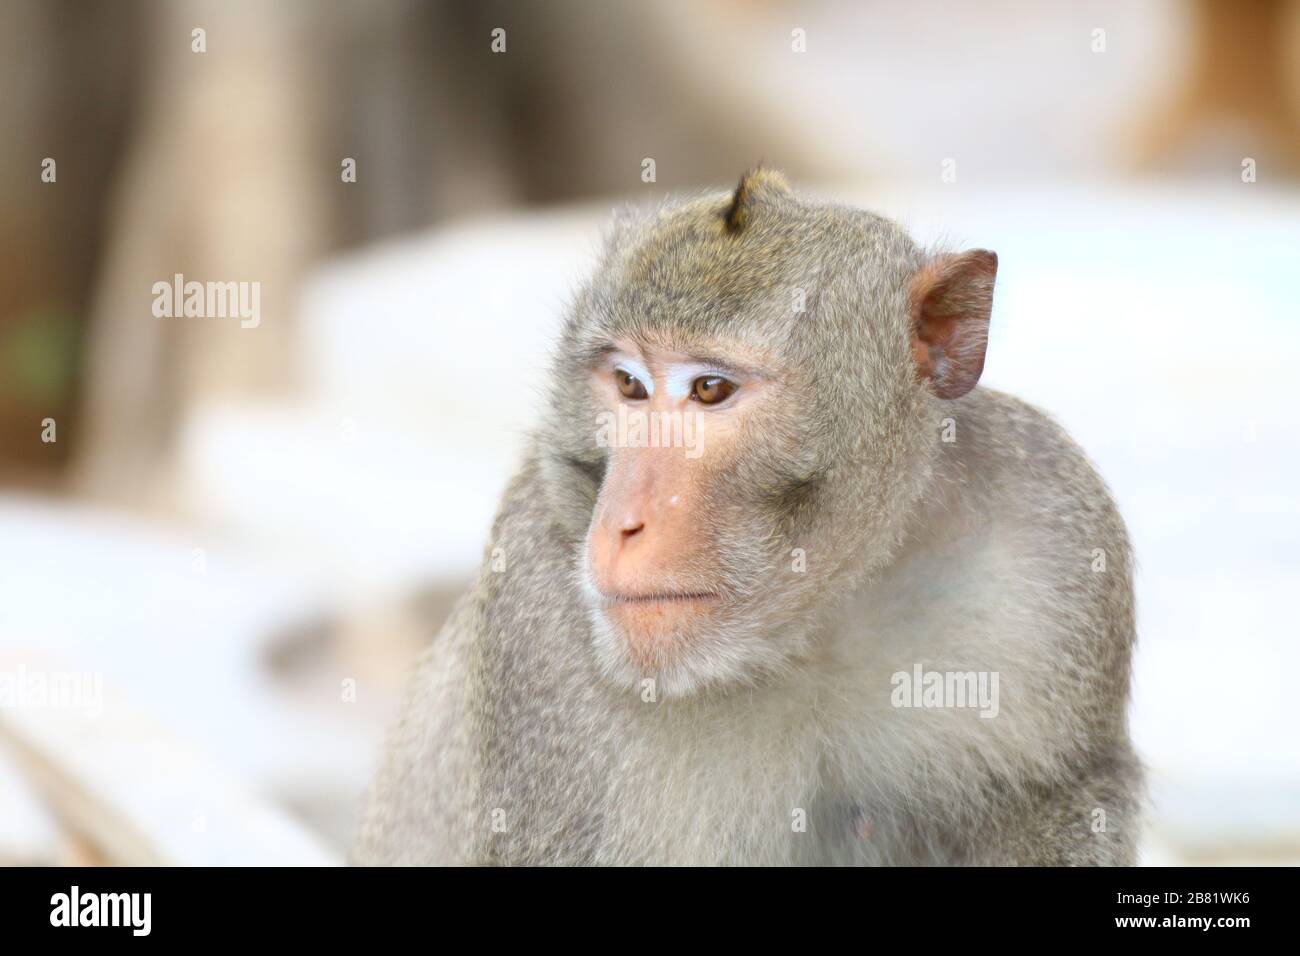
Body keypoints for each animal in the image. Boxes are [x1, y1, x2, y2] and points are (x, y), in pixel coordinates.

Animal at [352, 169, 1142, 866]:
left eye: (709, 389)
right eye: (629, 384)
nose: (620, 525)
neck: (808, 628)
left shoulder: (1053, 535)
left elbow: (1059, 798)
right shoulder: (538, 620)